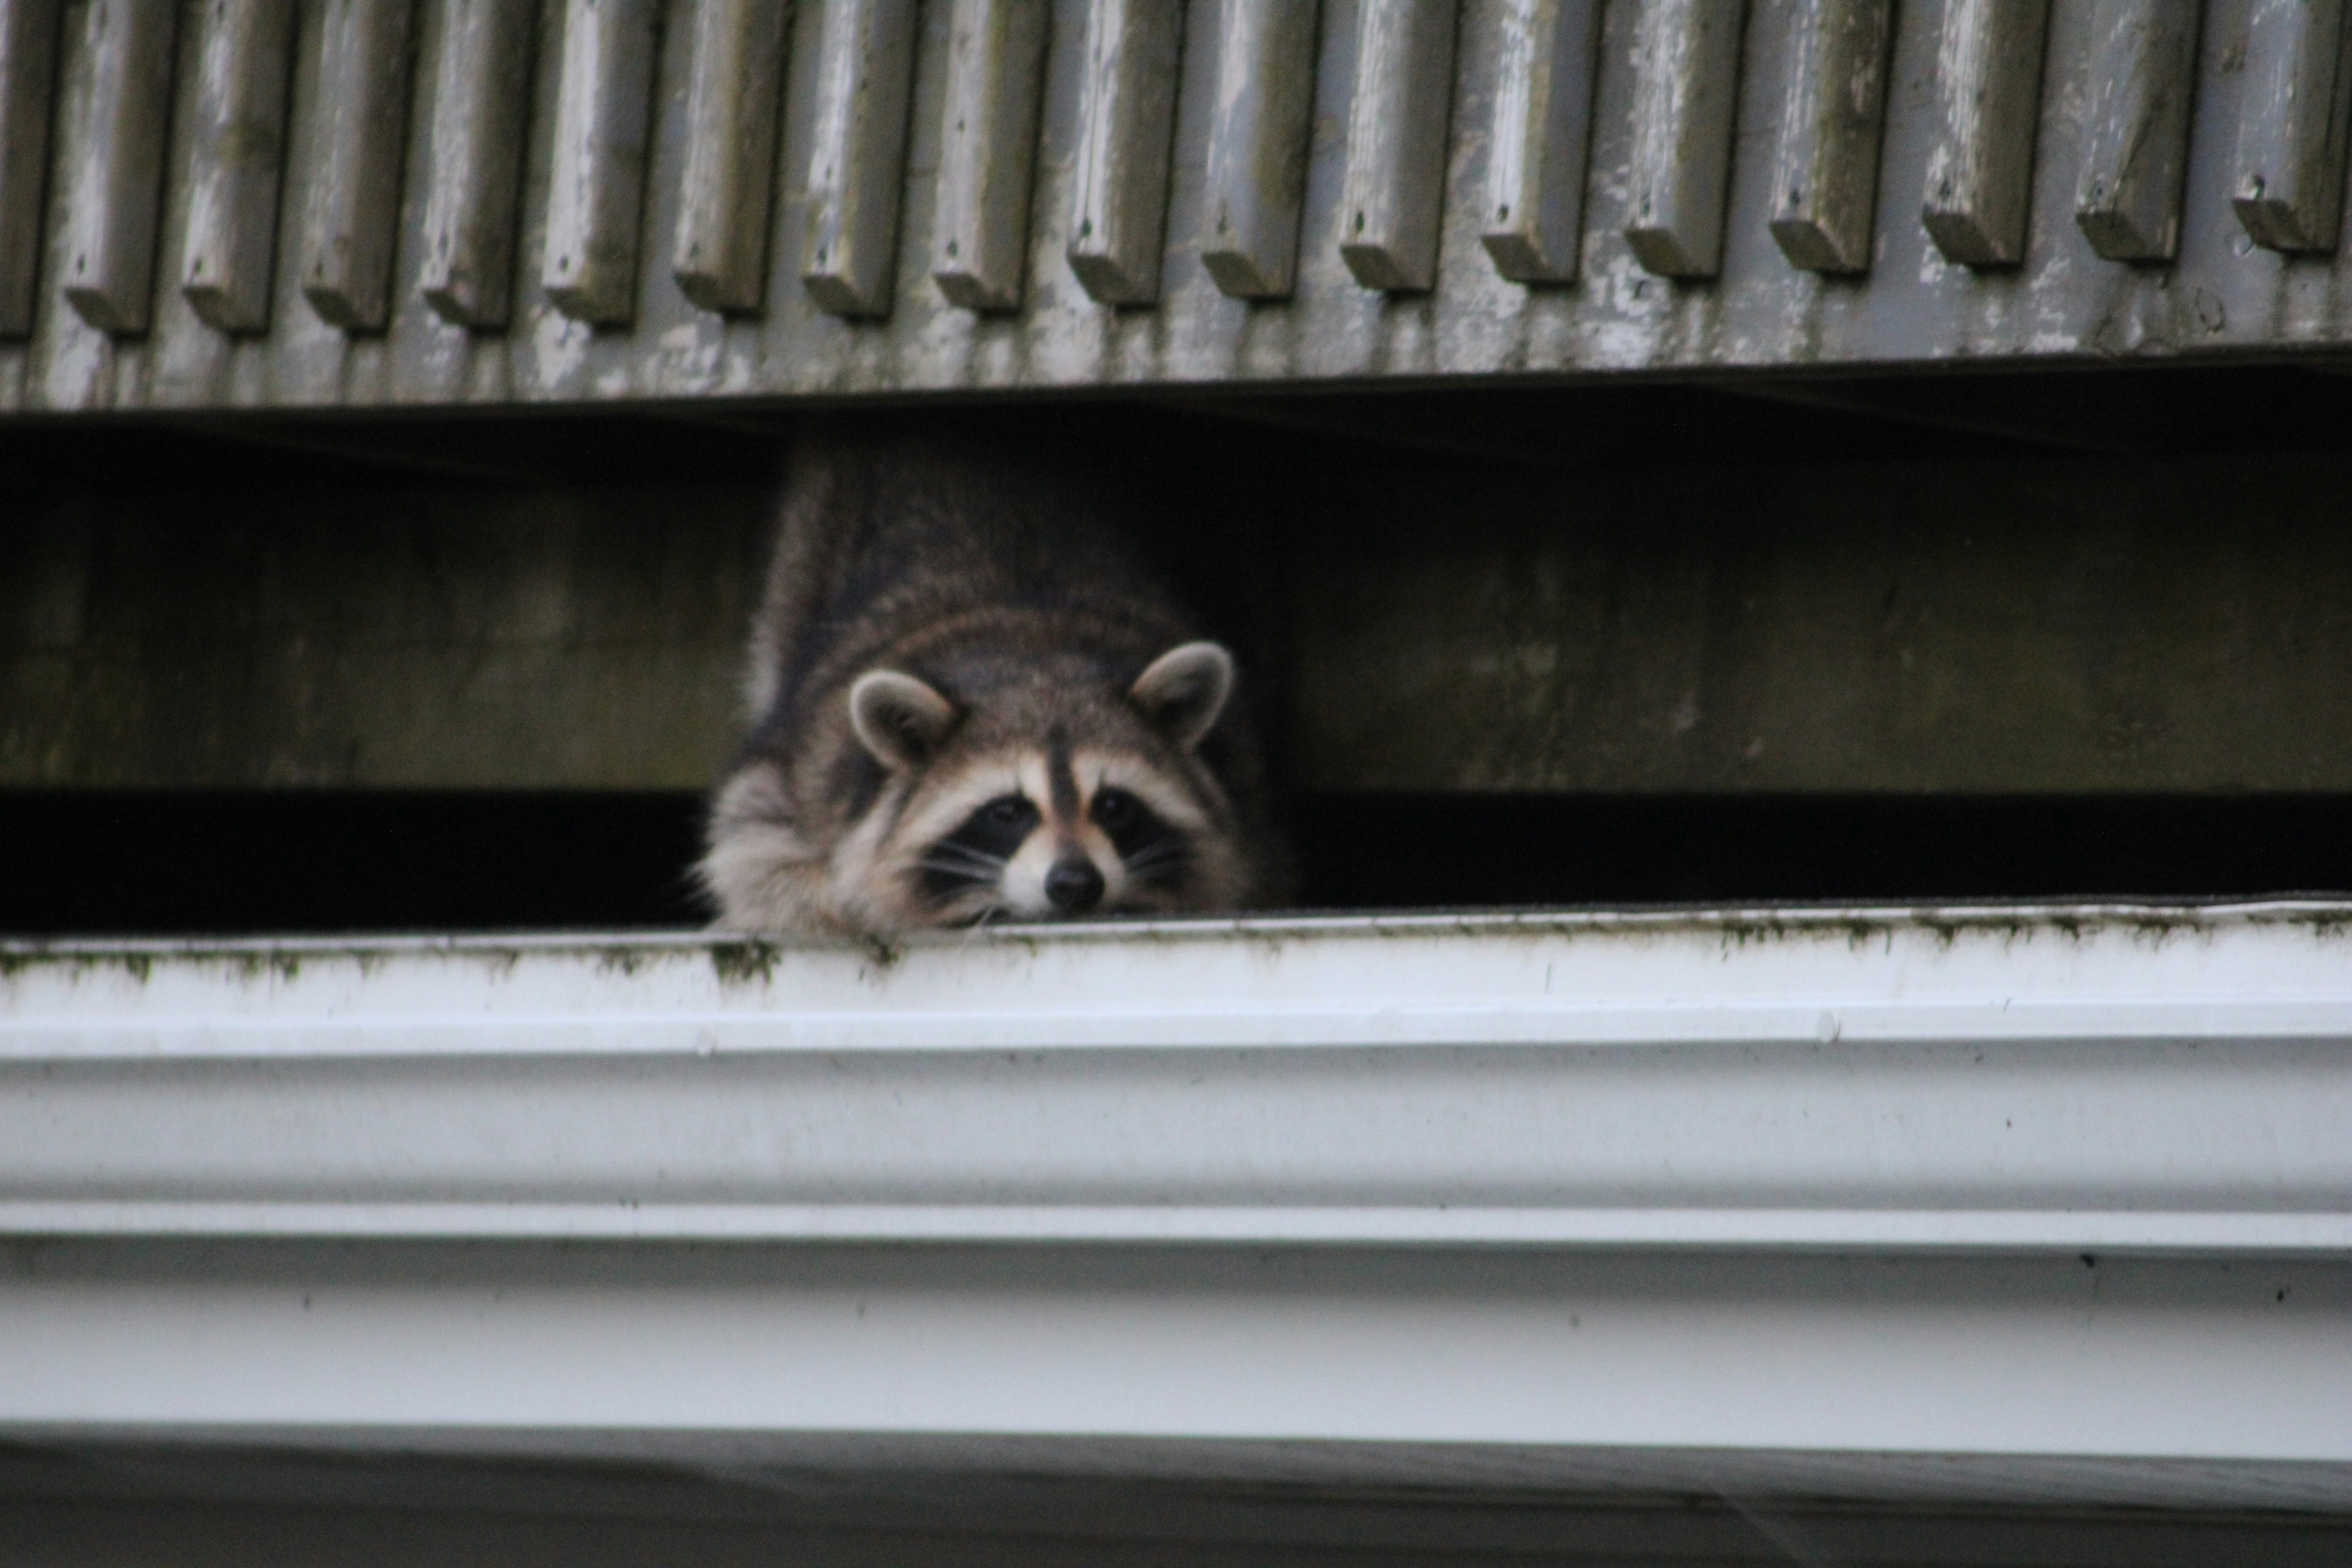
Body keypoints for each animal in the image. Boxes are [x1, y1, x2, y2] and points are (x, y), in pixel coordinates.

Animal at [699, 427, 1277, 937]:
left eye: (1114, 806)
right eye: (1007, 811)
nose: (1075, 883)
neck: (1034, 653)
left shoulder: (1244, 779)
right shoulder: (807, 772)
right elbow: (755, 849)